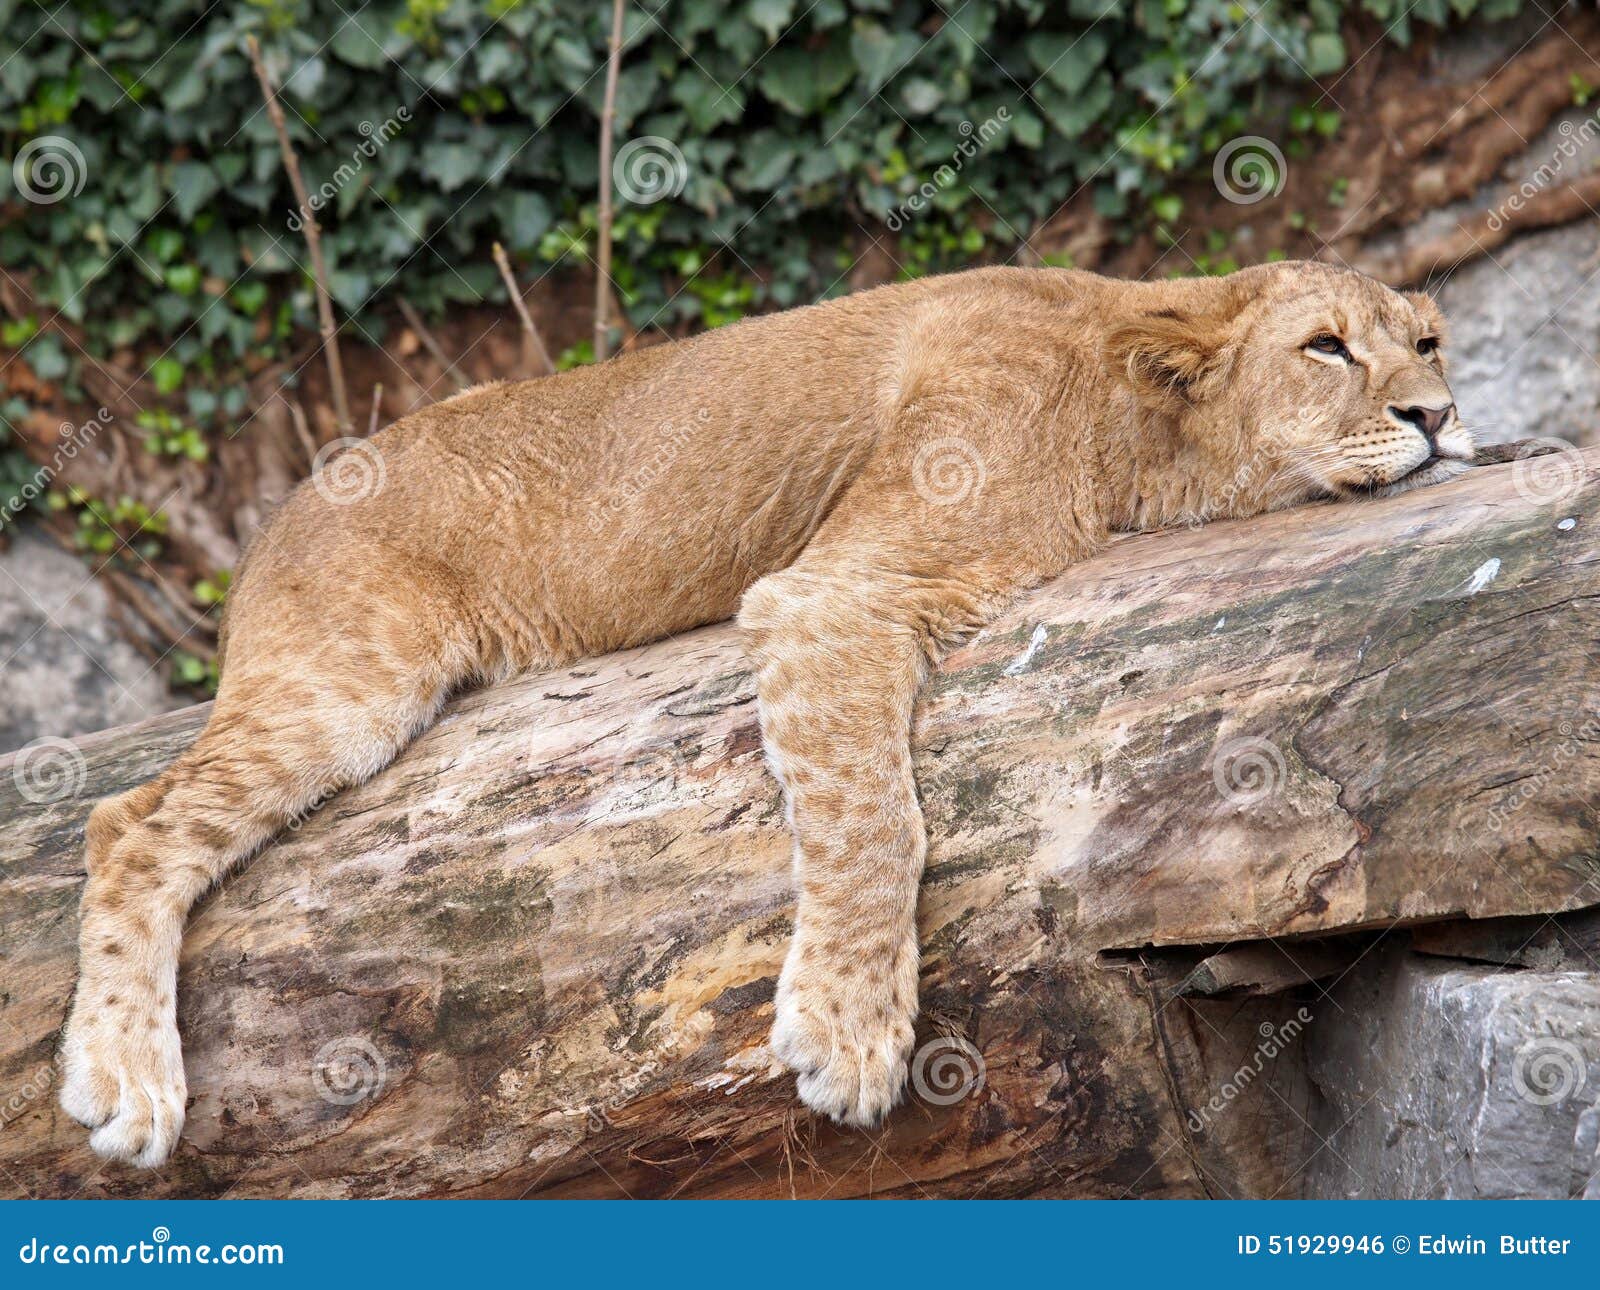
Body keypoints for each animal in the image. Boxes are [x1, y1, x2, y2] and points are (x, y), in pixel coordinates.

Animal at [59, 260, 1470, 1165]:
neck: (1137, 423)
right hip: (348, 684)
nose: (1440, 417)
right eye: (1326, 347)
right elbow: (877, 820)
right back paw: (124, 1080)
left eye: (1427, 343)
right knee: (129, 820)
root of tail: (281, 510)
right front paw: (848, 1035)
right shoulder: (830, 588)